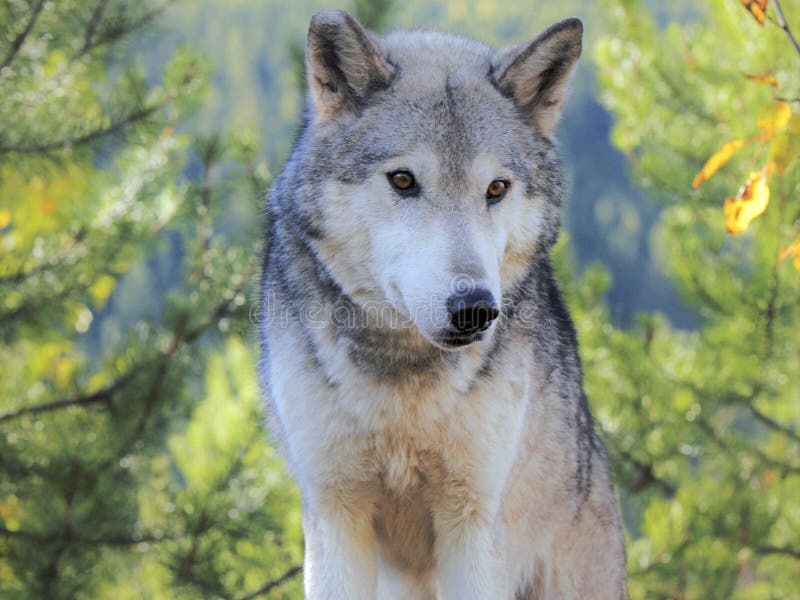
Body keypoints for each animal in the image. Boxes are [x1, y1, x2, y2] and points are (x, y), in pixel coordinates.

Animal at [259, 9, 627, 599]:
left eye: (496, 188)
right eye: (403, 180)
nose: (475, 307)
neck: (404, 379)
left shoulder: (473, 523)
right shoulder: (335, 514)